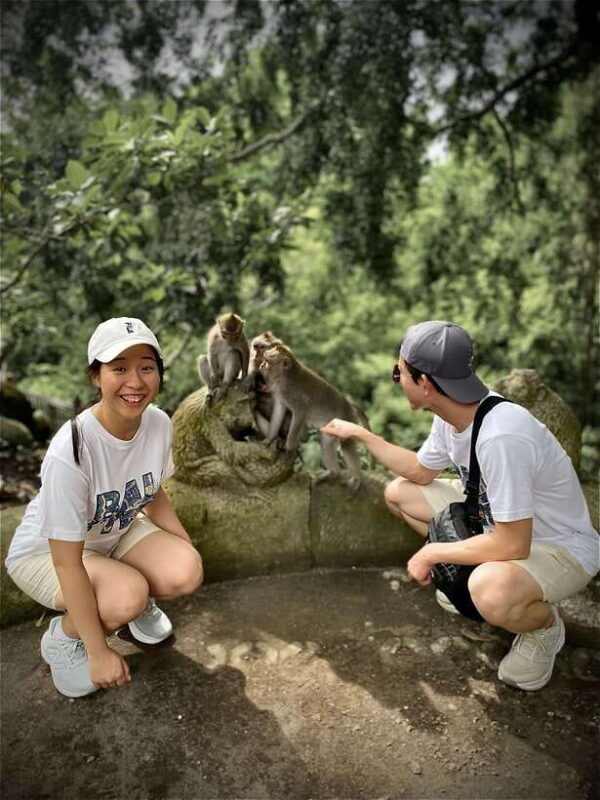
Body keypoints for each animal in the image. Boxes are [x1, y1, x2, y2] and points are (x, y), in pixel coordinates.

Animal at [259, 344, 367, 492]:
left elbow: (299, 414)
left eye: (267, 361)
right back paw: (333, 474)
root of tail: (350, 405)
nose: (261, 365)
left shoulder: (295, 397)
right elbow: (278, 412)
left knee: (347, 445)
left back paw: (357, 480)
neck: (285, 377)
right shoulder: (280, 393)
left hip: (347, 421)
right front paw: (268, 439)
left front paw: (289, 447)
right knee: (326, 442)